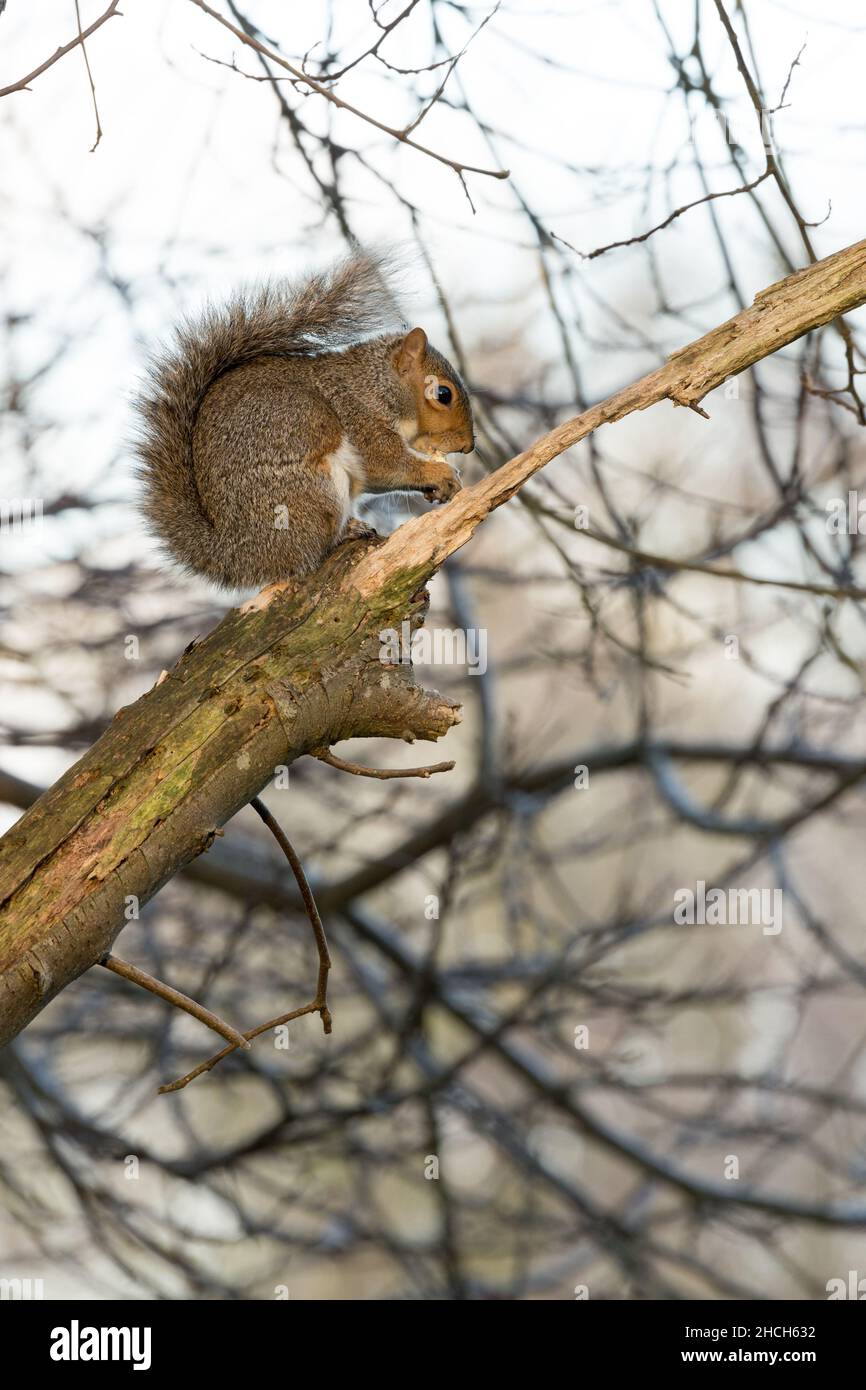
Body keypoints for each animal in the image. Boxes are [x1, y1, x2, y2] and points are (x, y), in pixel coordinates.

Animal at [134, 250, 474, 606]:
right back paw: (347, 532)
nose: (469, 446)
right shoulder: (360, 418)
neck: (375, 385)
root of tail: (238, 553)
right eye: (443, 394)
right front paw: (441, 475)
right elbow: (386, 465)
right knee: (314, 550)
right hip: (311, 491)